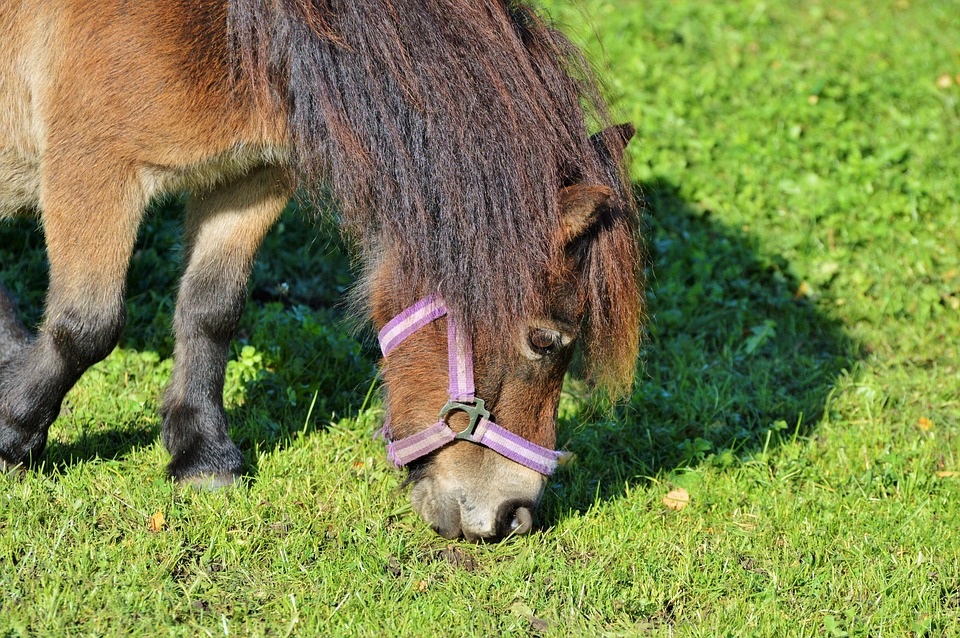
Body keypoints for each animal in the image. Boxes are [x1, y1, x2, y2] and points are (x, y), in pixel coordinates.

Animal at [0, 0, 642, 541]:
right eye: (546, 340)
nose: (516, 516)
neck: (236, 33)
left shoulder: (248, 179)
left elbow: (211, 311)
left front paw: (204, 454)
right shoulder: (95, 168)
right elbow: (88, 326)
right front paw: (13, 434)